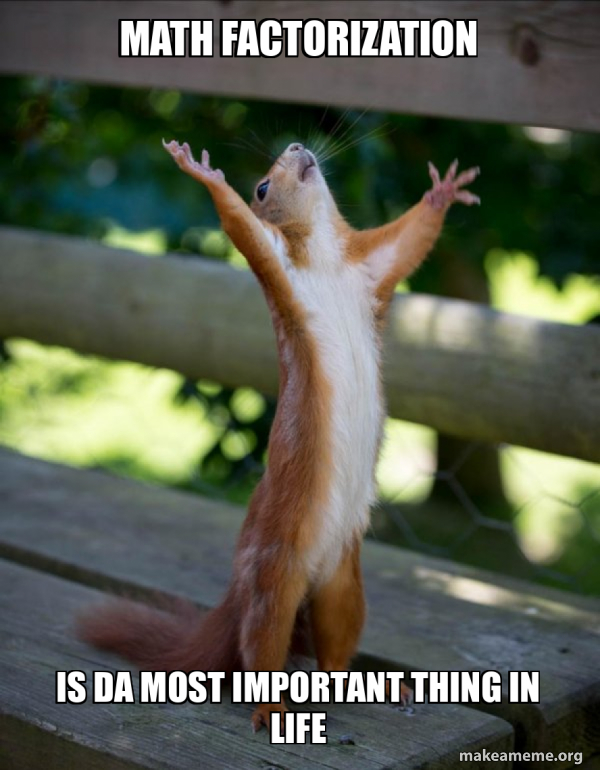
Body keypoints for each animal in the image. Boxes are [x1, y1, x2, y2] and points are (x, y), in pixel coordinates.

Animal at [78, 138, 479, 731]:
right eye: (262, 187)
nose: (296, 146)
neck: (327, 258)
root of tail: (241, 589)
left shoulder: (371, 267)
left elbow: (409, 240)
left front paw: (443, 192)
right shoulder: (277, 266)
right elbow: (240, 226)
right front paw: (204, 174)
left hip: (344, 585)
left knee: (335, 652)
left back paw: (372, 685)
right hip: (274, 578)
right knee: (261, 649)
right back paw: (271, 709)